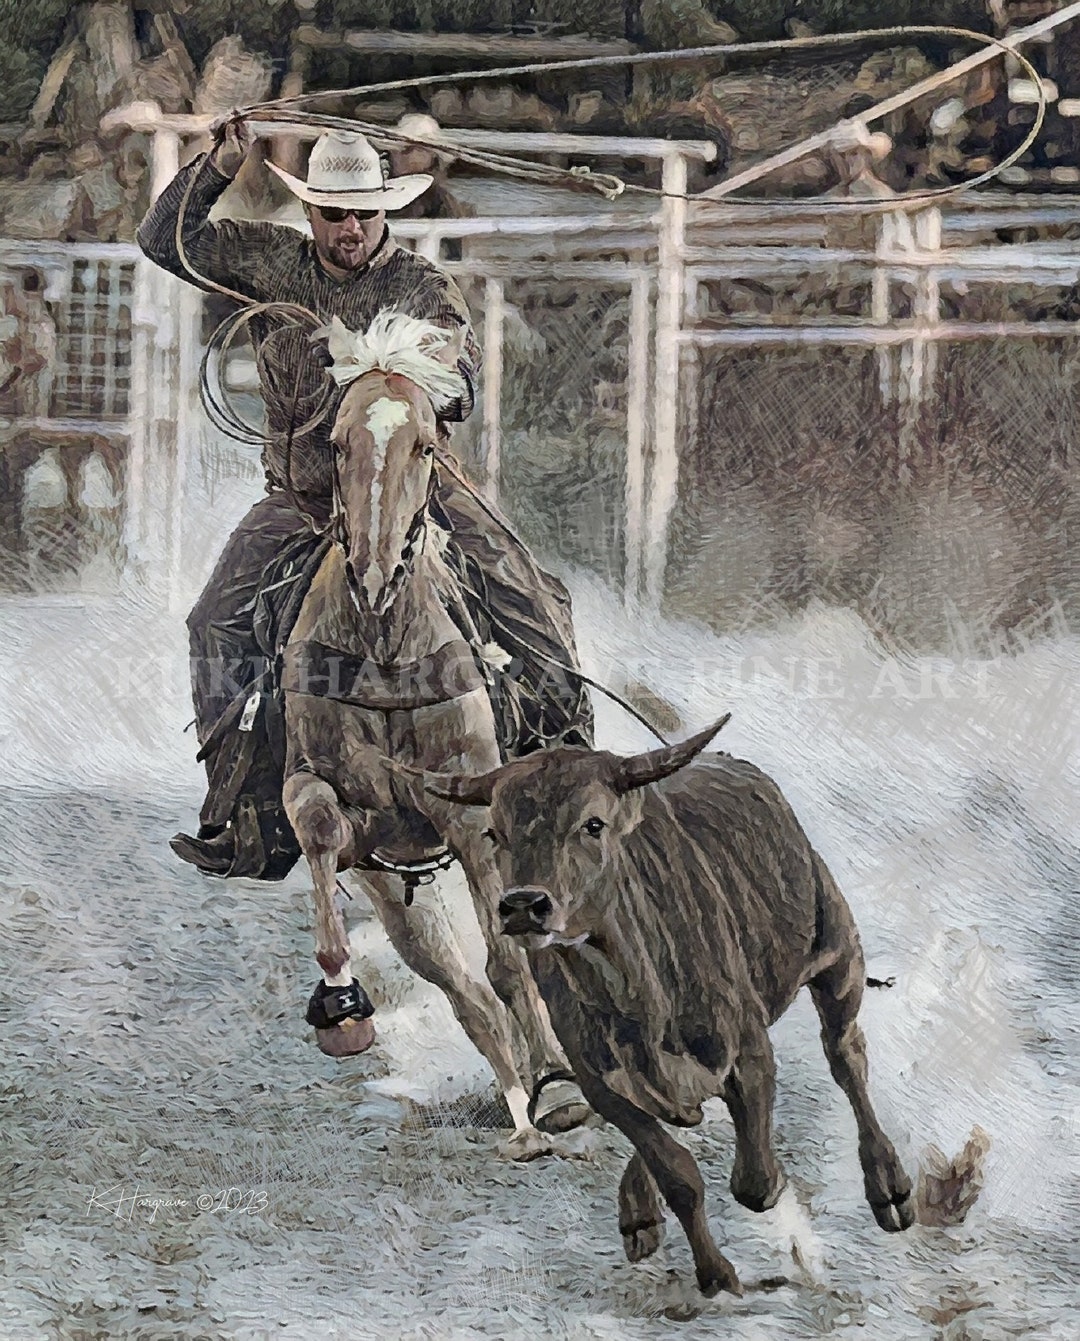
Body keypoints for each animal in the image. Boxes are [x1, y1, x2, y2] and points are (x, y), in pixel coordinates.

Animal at [417, 716, 914, 1297]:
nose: (522, 905)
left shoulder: (748, 1051)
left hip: (837, 951)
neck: (636, 1001)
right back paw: (639, 1215)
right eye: (494, 832)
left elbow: (755, 1182)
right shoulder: (601, 1083)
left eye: (593, 824)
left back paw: (890, 1189)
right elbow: (675, 1171)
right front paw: (715, 1274)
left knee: (847, 1056)